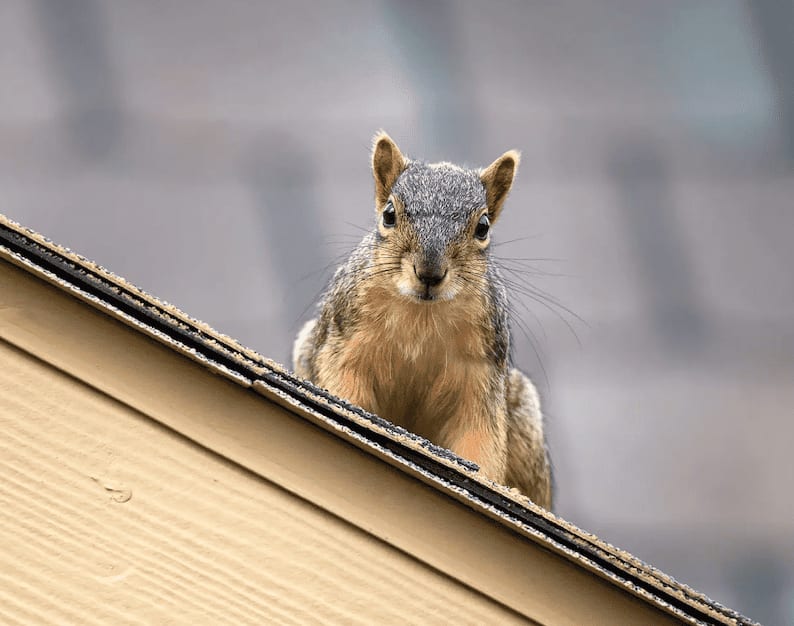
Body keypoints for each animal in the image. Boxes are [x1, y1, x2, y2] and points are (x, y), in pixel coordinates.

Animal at [293, 131, 552, 509]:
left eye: (483, 227)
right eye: (389, 214)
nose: (429, 272)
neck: (422, 315)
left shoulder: (480, 376)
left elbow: (479, 437)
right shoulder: (345, 346)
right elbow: (345, 391)